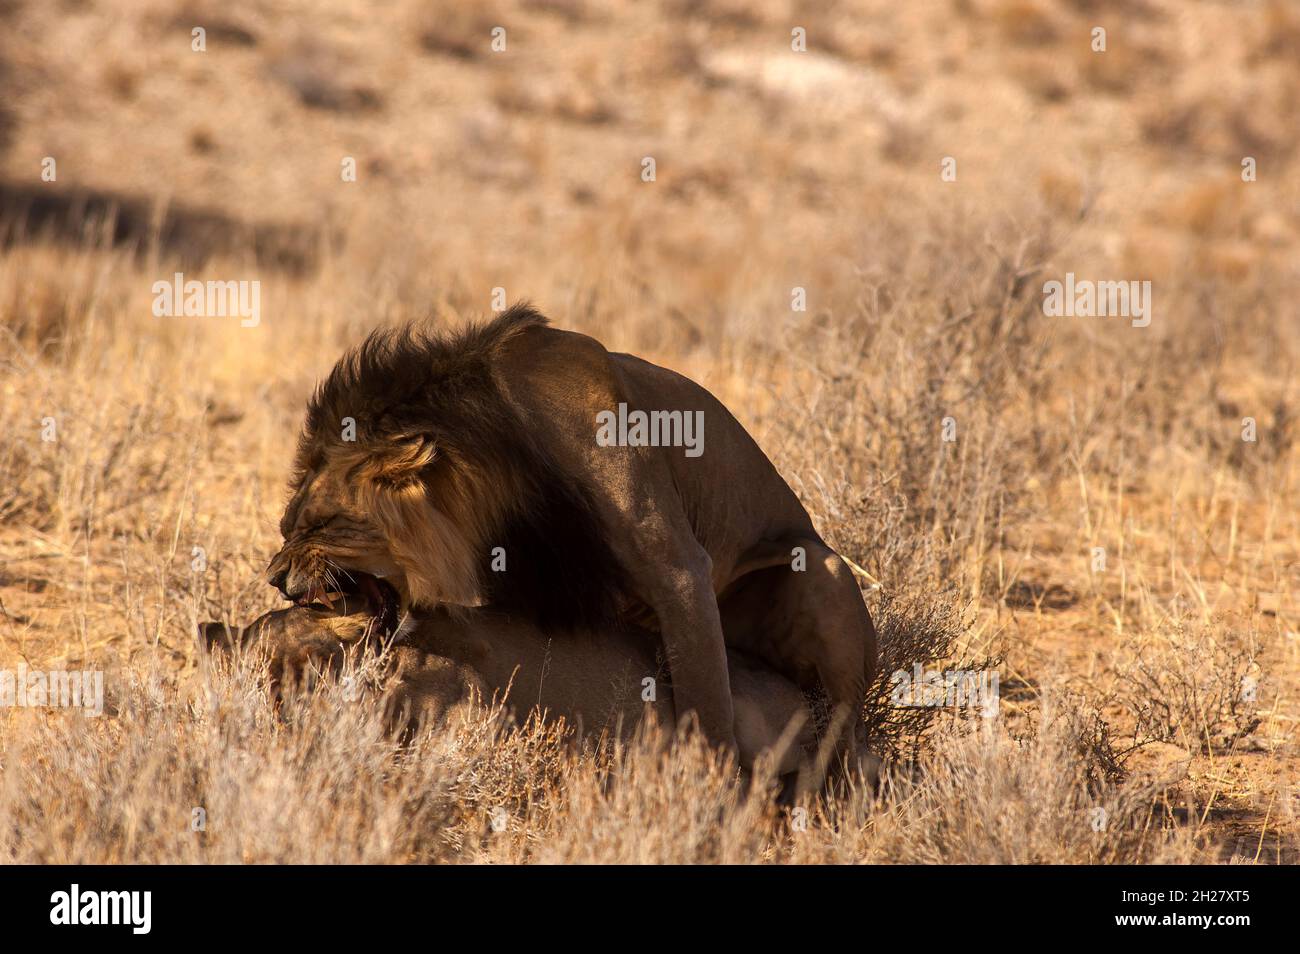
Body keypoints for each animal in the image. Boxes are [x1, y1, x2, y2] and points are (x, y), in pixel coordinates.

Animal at [266, 305, 876, 757]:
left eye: (321, 523)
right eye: (285, 526)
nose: (273, 578)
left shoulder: (680, 571)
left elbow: (707, 706)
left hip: (822, 571)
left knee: (845, 736)